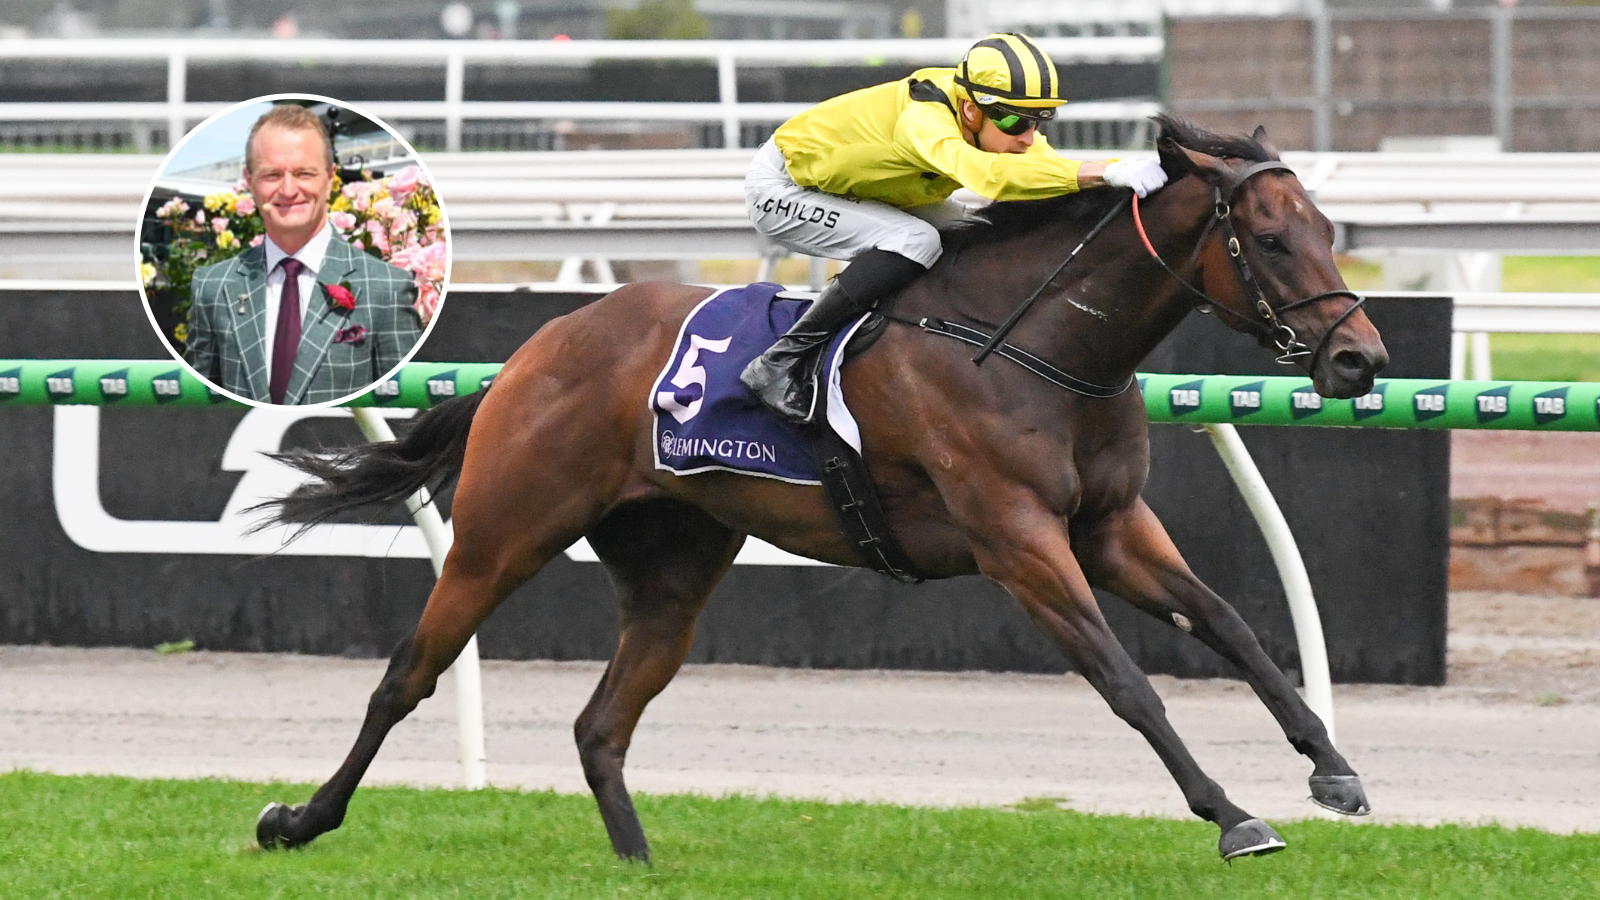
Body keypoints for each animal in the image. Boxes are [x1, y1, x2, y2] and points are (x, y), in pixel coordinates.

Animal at [254, 115, 1388, 863]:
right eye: (1272, 238)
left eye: (1332, 229)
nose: (1359, 361)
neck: (1036, 348)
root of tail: (540, 346)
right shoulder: (1018, 540)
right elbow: (1126, 681)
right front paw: (1232, 814)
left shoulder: (1109, 527)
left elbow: (1231, 627)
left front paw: (1333, 767)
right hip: (504, 532)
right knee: (408, 676)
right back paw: (299, 818)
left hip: (672, 567)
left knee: (601, 724)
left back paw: (639, 867)